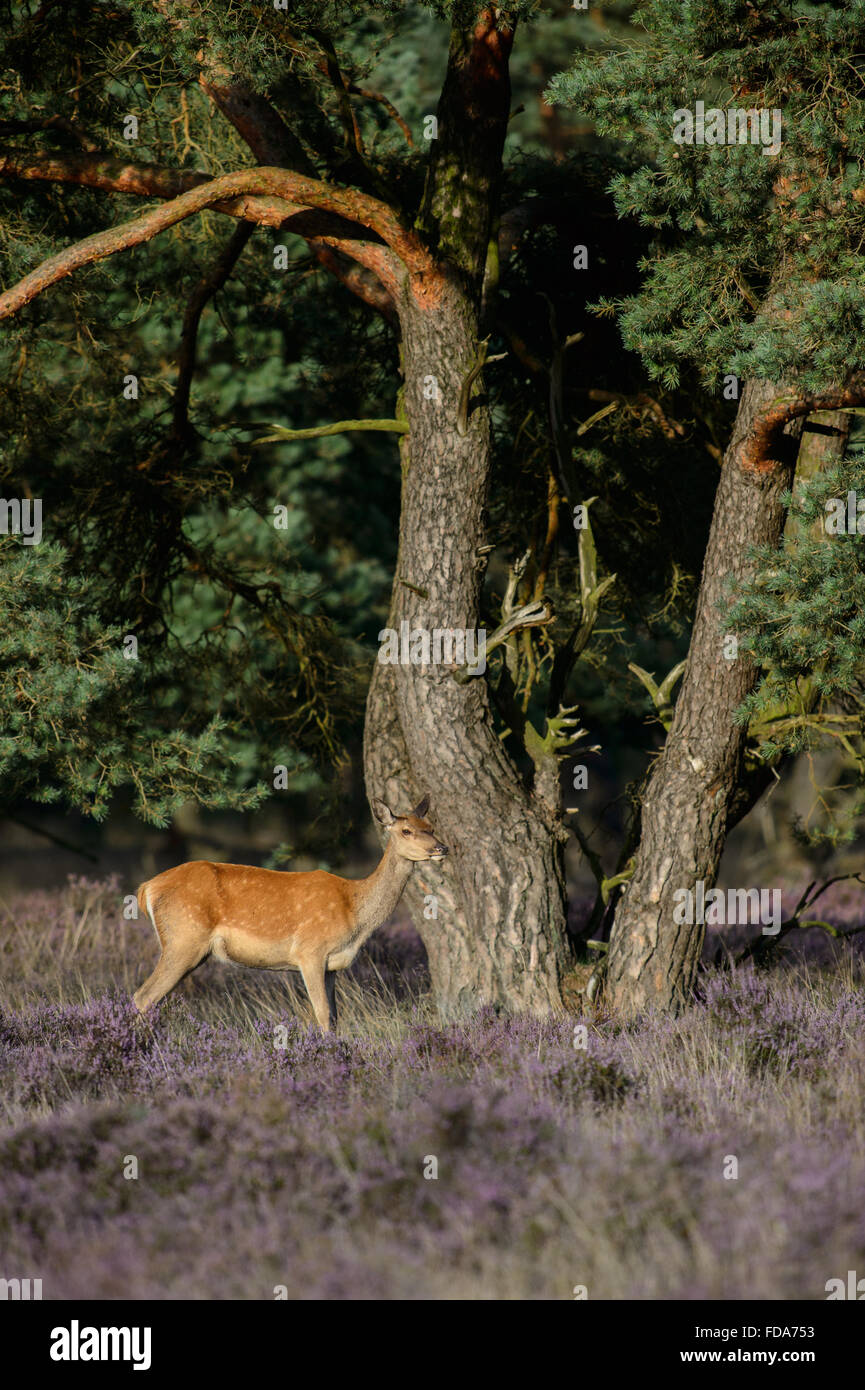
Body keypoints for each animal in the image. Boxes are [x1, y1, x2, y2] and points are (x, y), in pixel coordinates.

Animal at [131, 795, 447, 1031]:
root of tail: (147, 887)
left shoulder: (331, 965)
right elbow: (321, 1014)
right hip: (183, 938)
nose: (441, 848)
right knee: (143, 996)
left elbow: (335, 1017)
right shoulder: (310, 951)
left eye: (431, 826)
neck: (354, 910)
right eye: (406, 831)